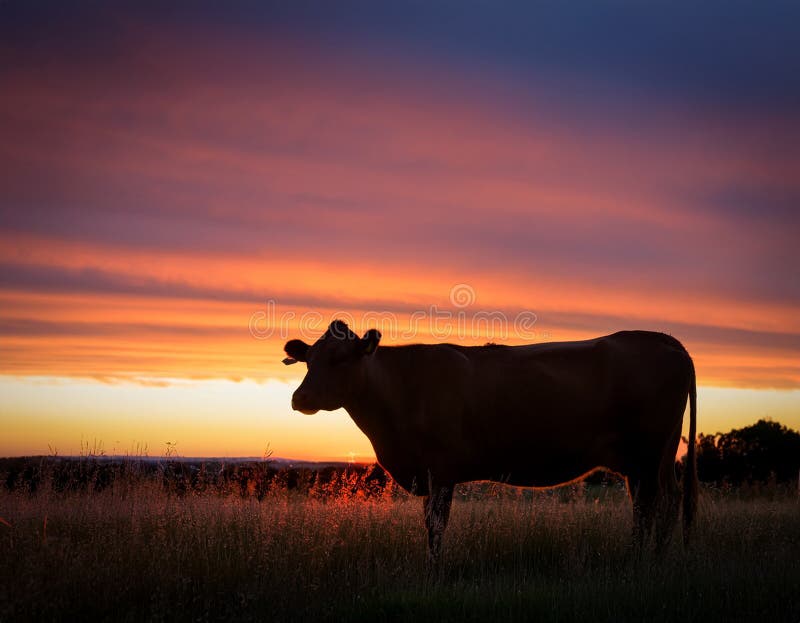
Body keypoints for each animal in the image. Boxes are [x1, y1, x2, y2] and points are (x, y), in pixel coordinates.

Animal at [283, 320, 698, 560]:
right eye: (309, 360)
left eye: (340, 359)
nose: (299, 398)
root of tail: (663, 340)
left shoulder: (440, 471)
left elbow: (436, 526)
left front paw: (435, 575)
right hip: (651, 459)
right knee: (662, 503)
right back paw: (651, 560)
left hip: (648, 454)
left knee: (652, 507)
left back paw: (642, 563)